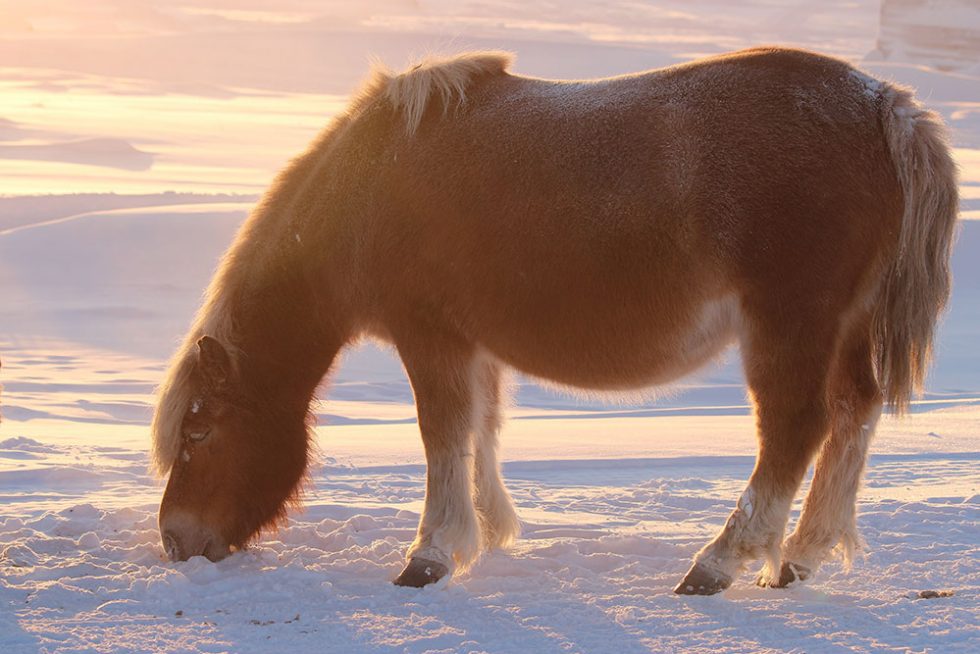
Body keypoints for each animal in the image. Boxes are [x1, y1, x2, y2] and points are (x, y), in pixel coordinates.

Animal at [151, 47, 958, 594]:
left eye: (199, 430)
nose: (176, 540)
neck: (371, 184)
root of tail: (887, 107)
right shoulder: (471, 341)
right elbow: (480, 430)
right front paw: (490, 533)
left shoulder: (429, 334)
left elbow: (442, 434)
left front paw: (431, 554)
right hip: (843, 328)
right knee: (853, 414)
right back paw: (798, 557)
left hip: (790, 326)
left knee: (795, 431)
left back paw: (717, 564)